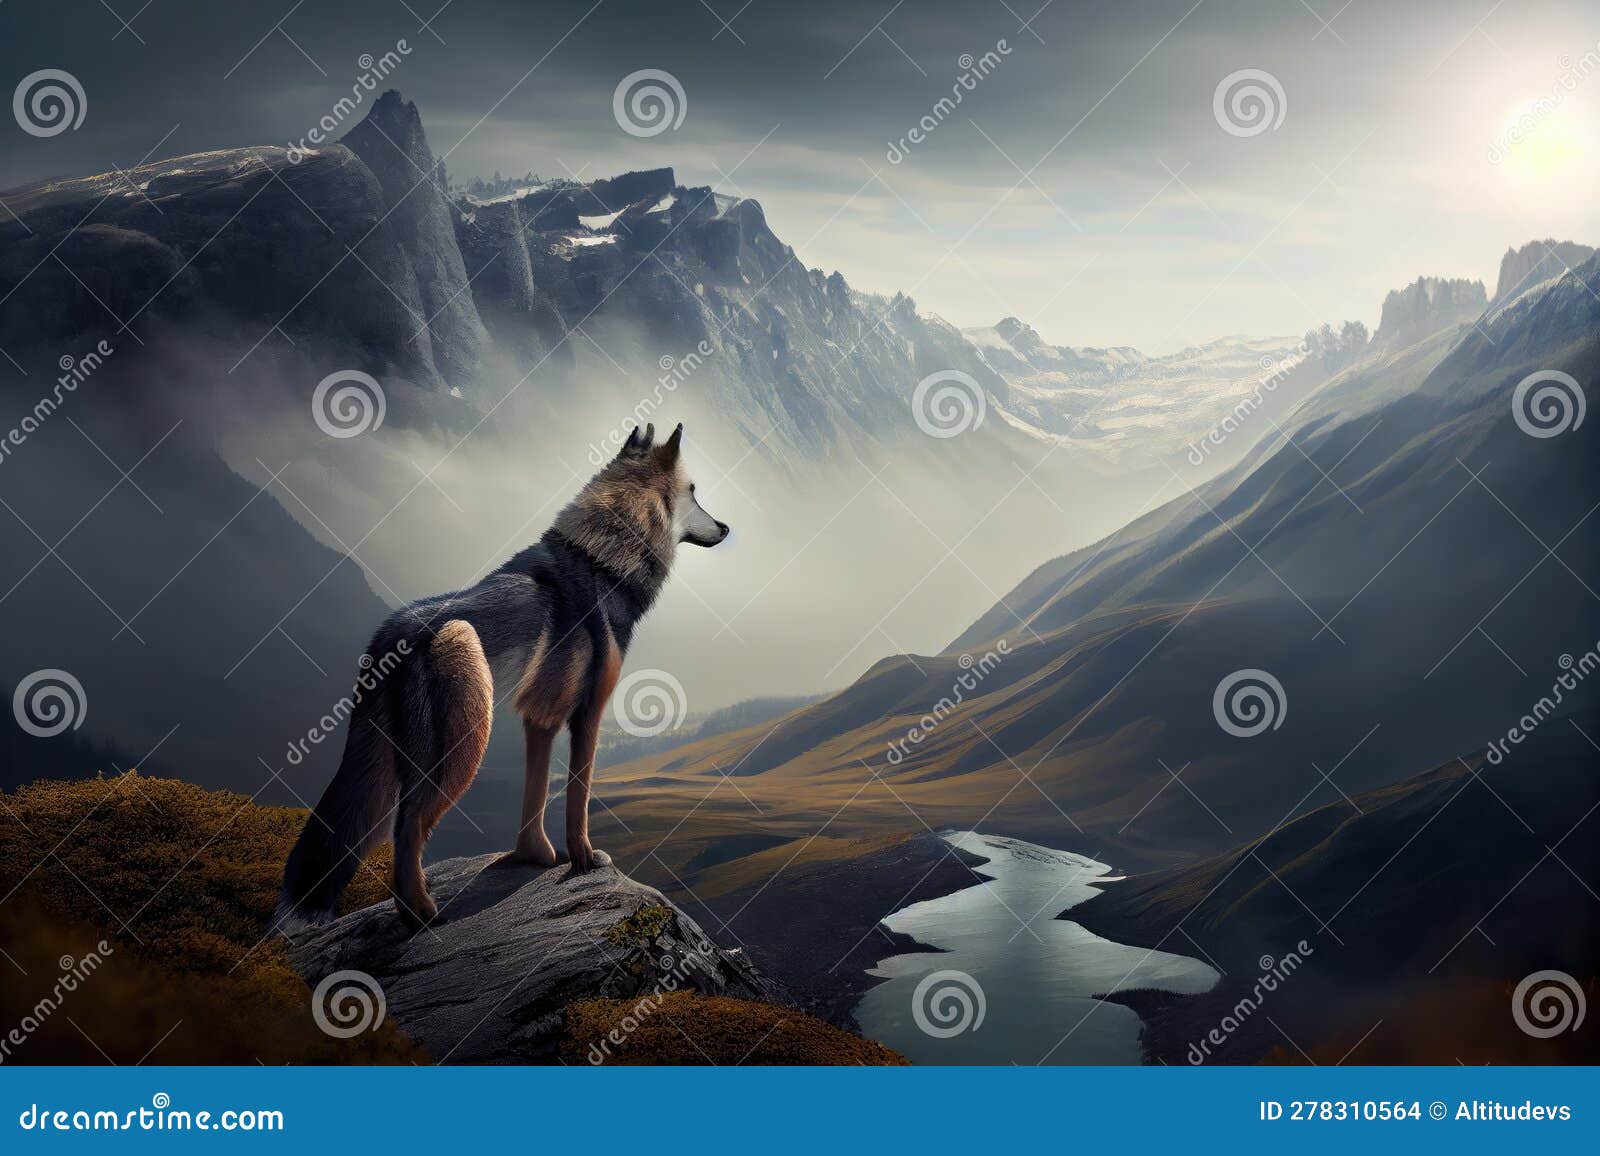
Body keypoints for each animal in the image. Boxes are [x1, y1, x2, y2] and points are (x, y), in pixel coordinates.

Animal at [275, 422, 728, 932]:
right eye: (694, 492)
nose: (727, 528)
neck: (601, 560)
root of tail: (395, 633)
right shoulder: (588, 714)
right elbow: (578, 797)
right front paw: (585, 859)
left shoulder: (540, 717)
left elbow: (535, 793)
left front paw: (536, 856)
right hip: (459, 749)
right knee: (408, 825)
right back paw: (422, 916)